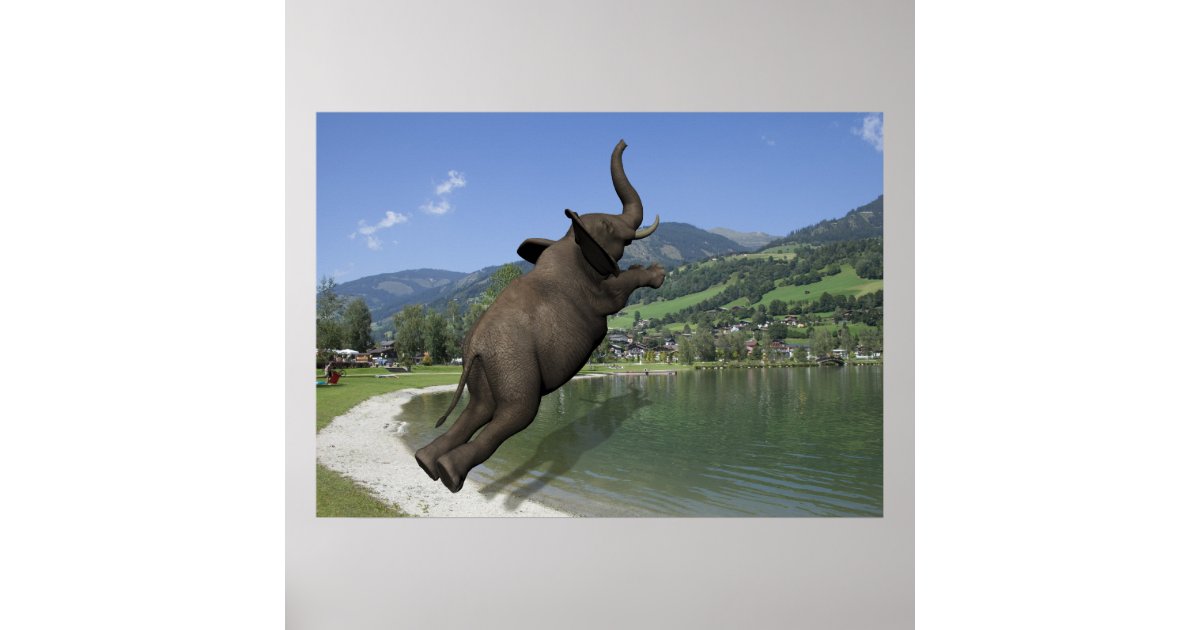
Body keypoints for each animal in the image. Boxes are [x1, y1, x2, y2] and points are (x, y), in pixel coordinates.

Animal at [414, 139, 665, 493]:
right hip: (513, 360)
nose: (626, 142)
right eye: (607, 226)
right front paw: (657, 273)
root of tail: (474, 346)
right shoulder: (588, 290)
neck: (567, 240)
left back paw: (427, 464)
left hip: (484, 367)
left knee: (479, 408)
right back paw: (450, 475)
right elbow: (615, 294)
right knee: (515, 413)